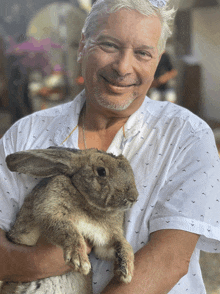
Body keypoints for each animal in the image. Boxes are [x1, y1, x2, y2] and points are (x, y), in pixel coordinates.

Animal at [0, 148, 138, 292]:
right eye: (101, 171)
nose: (134, 197)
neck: (87, 201)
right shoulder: (52, 212)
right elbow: (69, 232)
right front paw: (80, 262)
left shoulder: (105, 239)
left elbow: (123, 244)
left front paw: (126, 272)